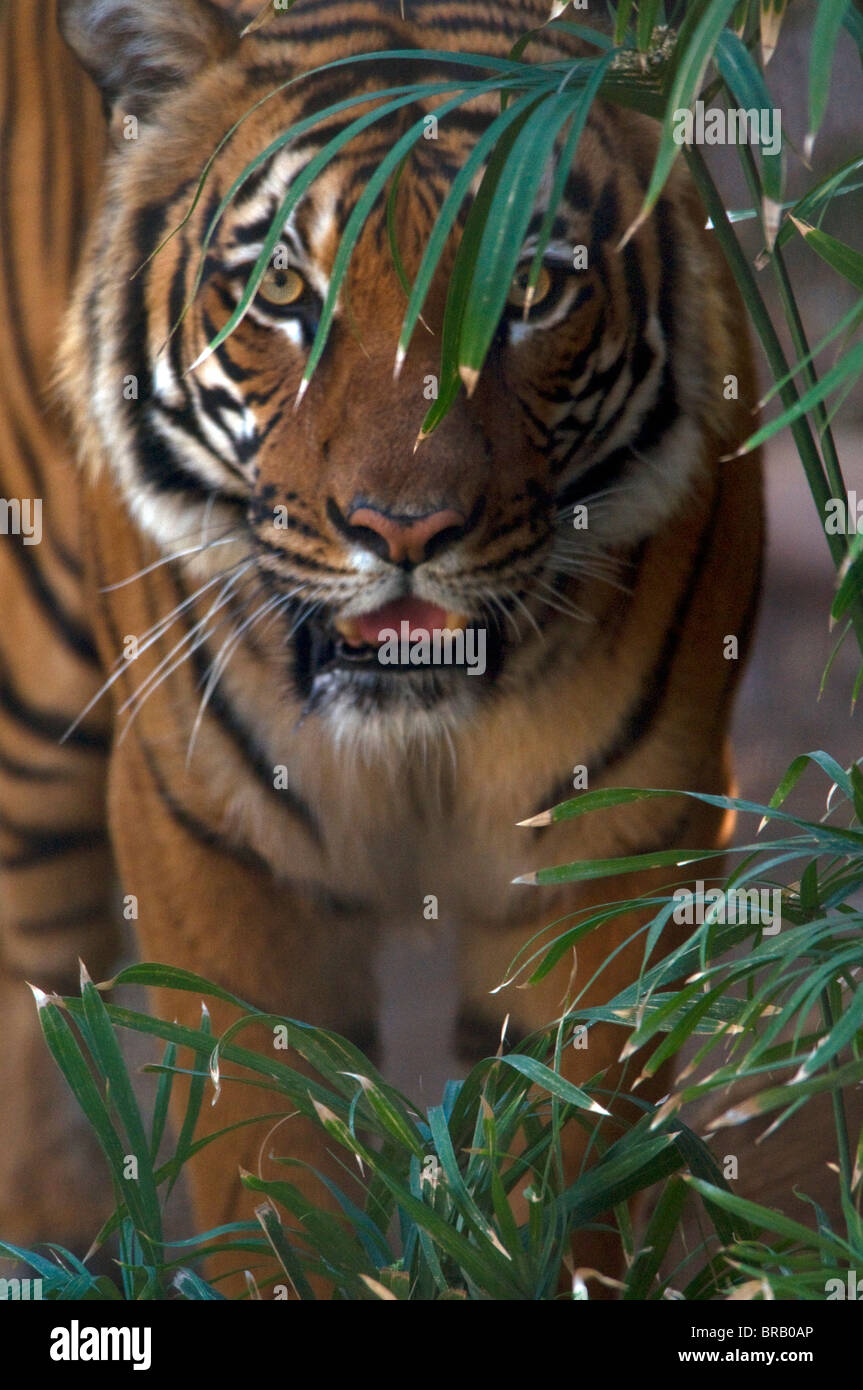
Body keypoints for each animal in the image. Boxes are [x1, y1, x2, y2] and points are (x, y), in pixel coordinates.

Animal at [0, 0, 763, 1293]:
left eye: (530, 287)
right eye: (279, 288)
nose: (402, 528)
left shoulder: (621, 841)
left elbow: (566, 1150)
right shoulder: (214, 840)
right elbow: (269, 1160)